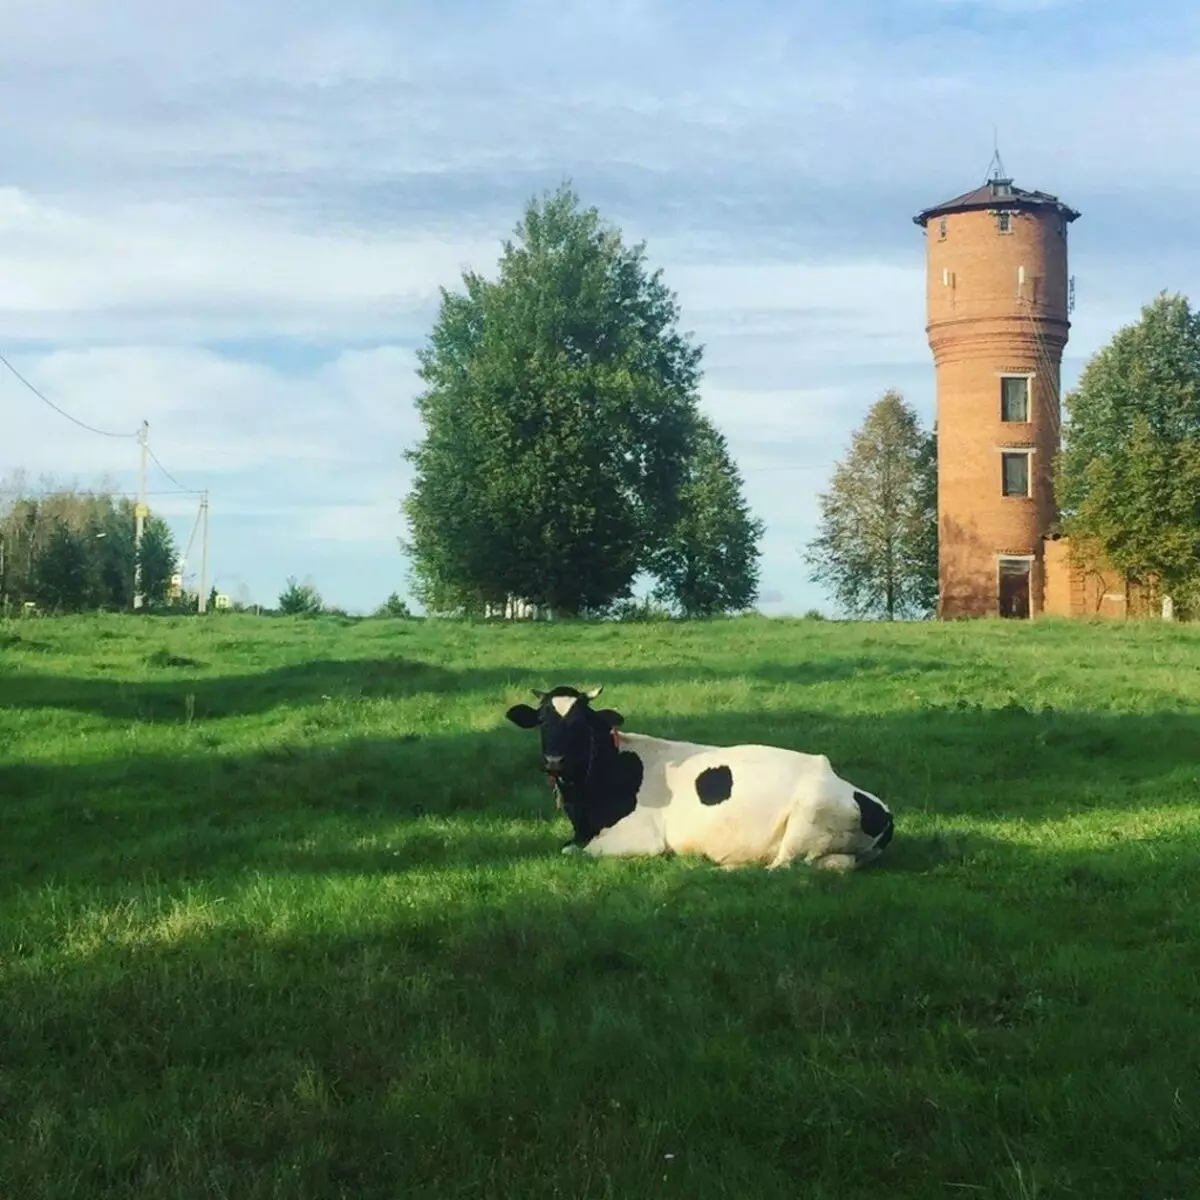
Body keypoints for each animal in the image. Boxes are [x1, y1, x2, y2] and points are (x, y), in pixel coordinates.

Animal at [501, 686, 897, 873]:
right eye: (542, 720)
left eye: (581, 722)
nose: (554, 761)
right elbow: (569, 847)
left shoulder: (642, 839)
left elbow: (577, 852)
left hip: (807, 817)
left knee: (781, 868)